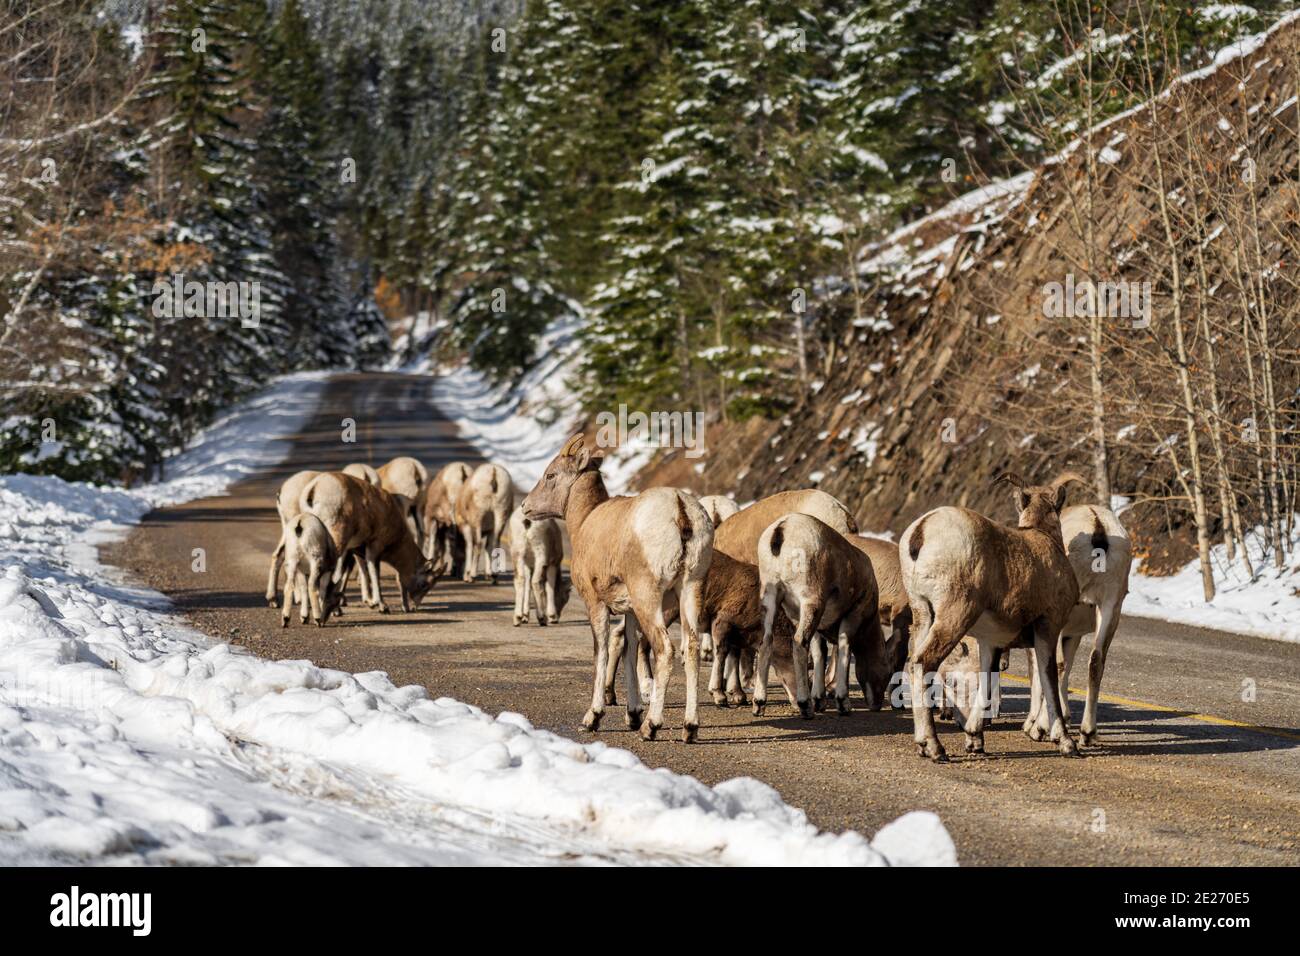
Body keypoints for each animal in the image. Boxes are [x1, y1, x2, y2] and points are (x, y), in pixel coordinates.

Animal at [300, 472, 439, 614]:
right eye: (424, 584)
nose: (414, 607)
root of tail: (314, 488)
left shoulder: (356, 550)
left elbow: (361, 571)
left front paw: (371, 603)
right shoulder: (374, 547)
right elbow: (374, 573)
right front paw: (382, 606)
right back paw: (334, 611)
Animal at [522, 435, 711, 743]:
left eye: (551, 475)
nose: (525, 506)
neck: (585, 521)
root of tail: (680, 508)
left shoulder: (596, 604)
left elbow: (601, 650)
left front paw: (593, 718)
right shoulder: (629, 611)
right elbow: (628, 650)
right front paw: (632, 715)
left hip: (649, 596)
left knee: (665, 649)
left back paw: (651, 727)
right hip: (691, 588)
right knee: (690, 648)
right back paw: (689, 728)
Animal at [756, 513, 883, 717]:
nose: (877, 704)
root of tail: (781, 530)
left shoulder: (818, 627)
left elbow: (819, 654)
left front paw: (819, 700)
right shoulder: (852, 616)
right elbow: (844, 649)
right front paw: (842, 704)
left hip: (770, 598)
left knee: (766, 641)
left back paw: (759, 704)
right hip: (810, 602)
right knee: (799, 643)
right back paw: (805, 706)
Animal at [899, 472, 1084, 761]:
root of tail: (922, 530)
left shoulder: (991, 641)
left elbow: (987, 679)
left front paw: (975, 740)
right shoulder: (1048, 628)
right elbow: (1049, 680)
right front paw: (1066, 743)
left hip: (922, 613)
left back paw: (922, 745)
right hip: (954, 615)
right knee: (923, 663)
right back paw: (934, 747)